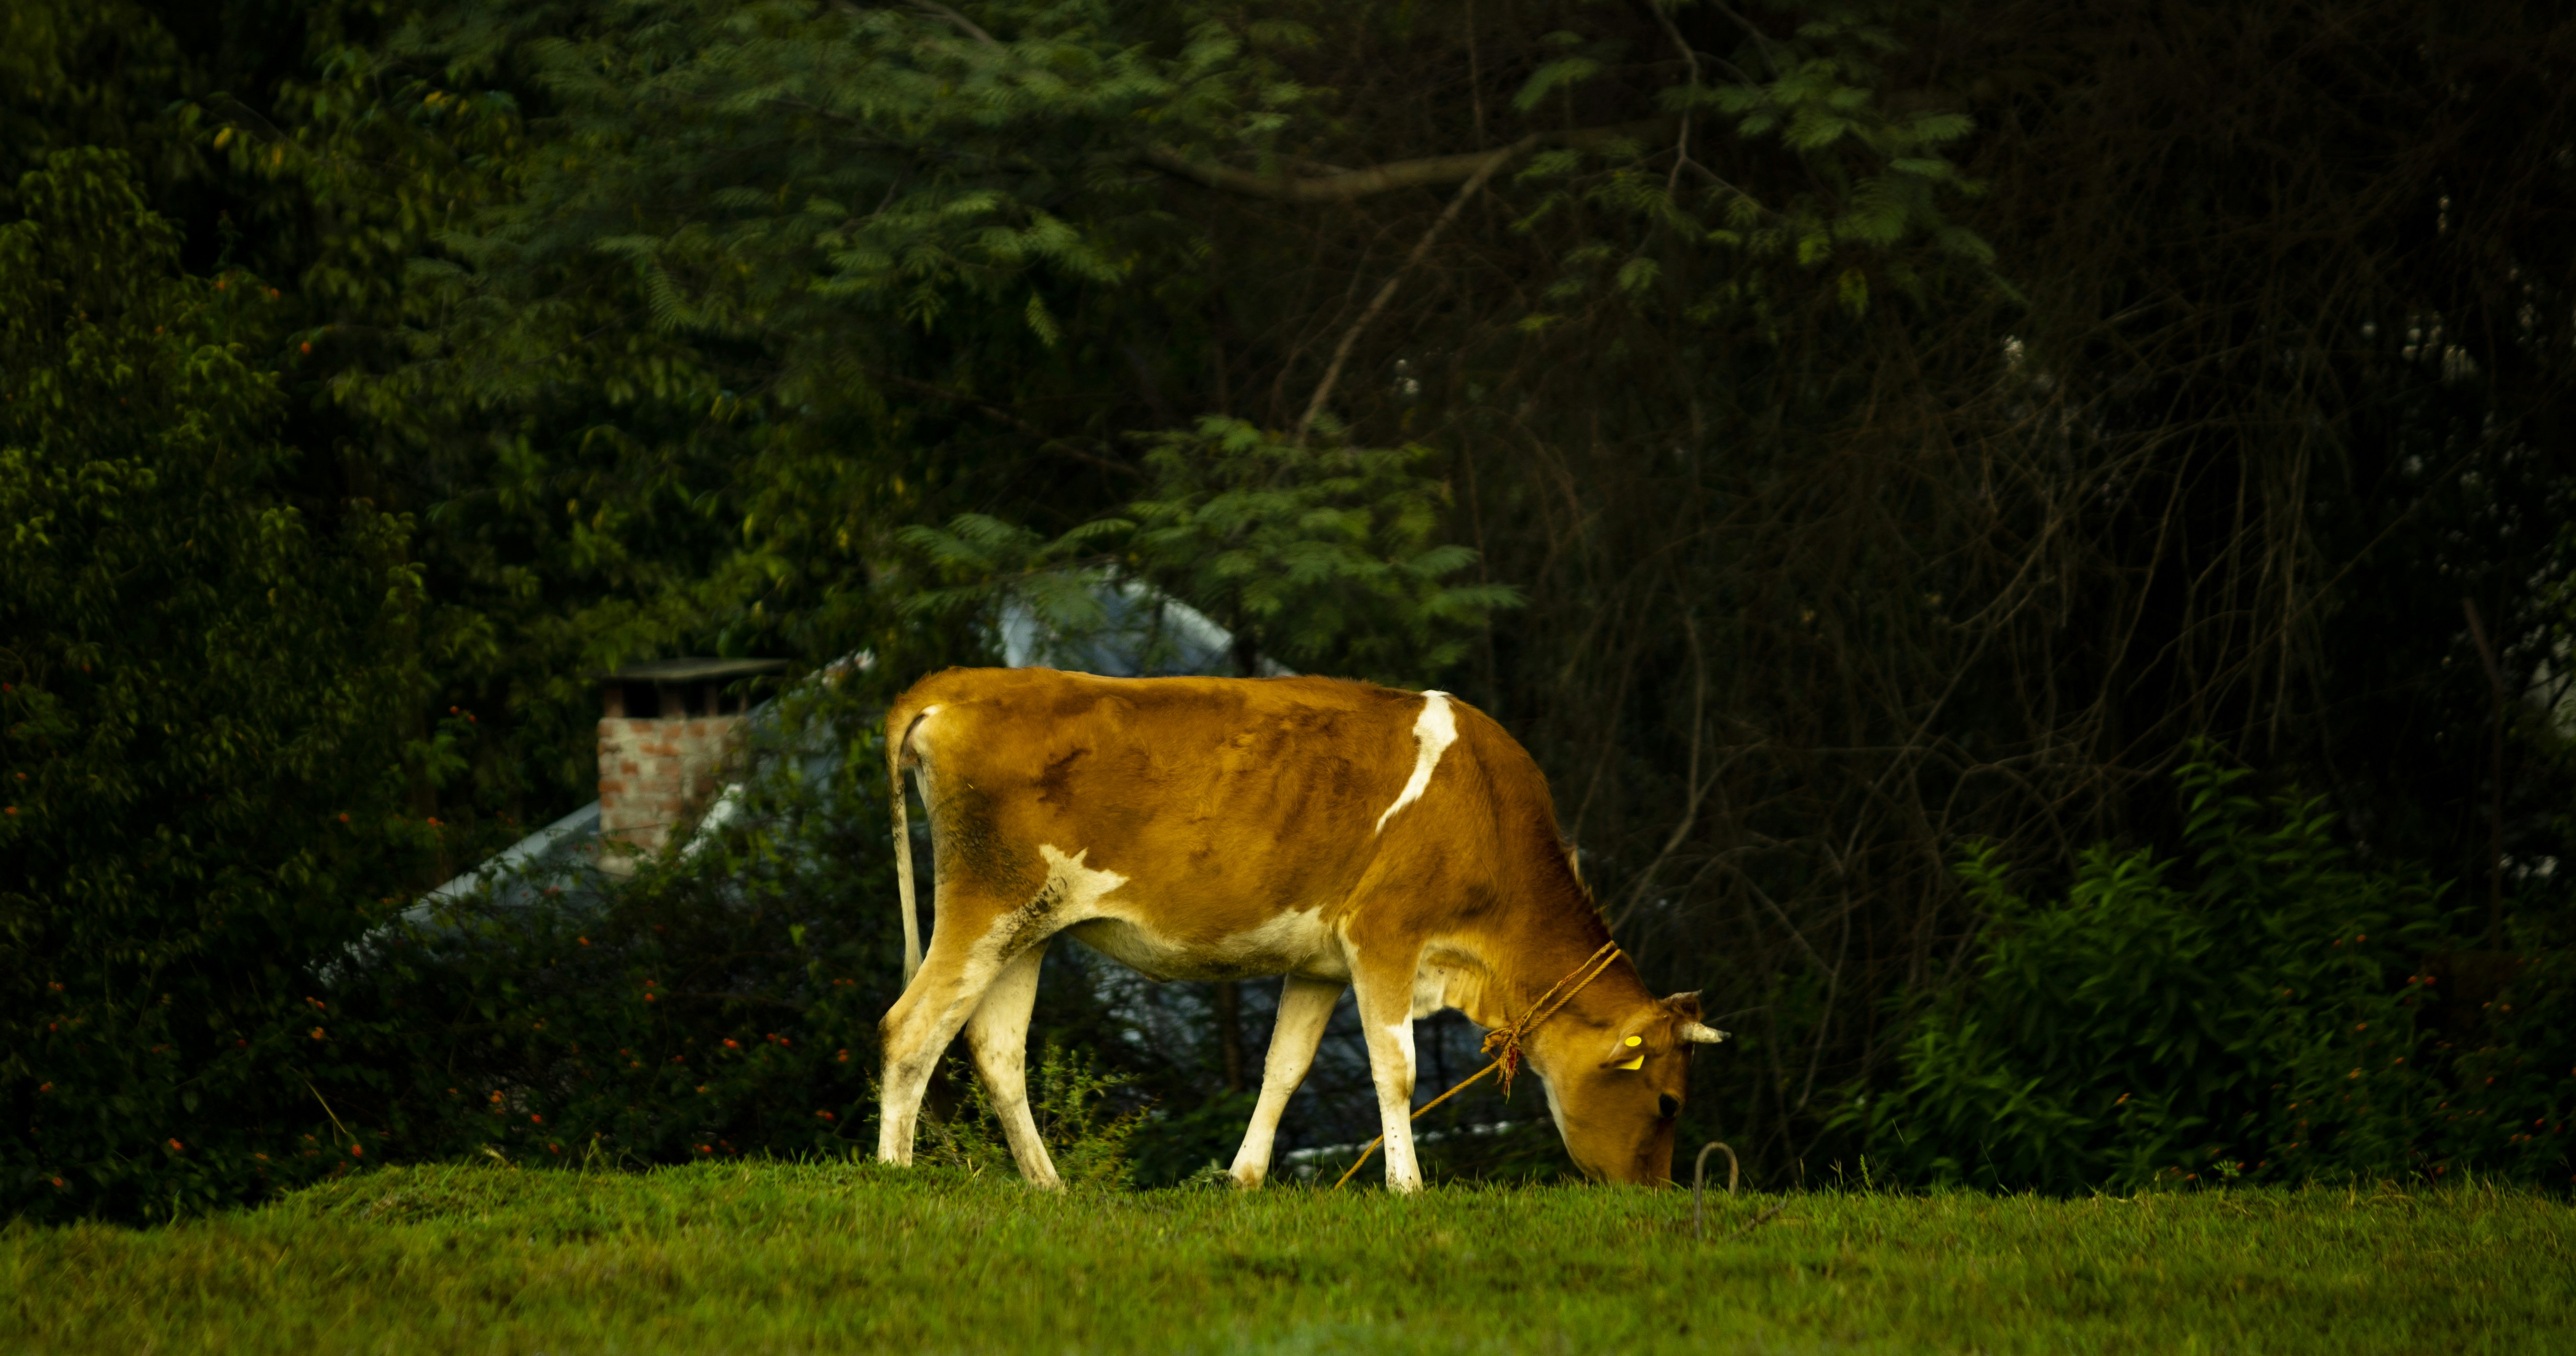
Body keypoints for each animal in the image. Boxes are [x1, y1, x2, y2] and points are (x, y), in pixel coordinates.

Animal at [875, 667, 1726, 1192]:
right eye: (1668, 1103)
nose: (1650, 1194)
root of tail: (957, 683)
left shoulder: (1320, 963)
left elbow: (1284, 1068)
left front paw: (1243, 1178)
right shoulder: (1385, 935)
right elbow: (1397, 1069)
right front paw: (1407, 1186)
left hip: (1029, 927)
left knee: (995, 1050)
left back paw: (1049, 1185)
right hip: (986, 903)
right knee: (909, 1028)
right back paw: (895, 1172)